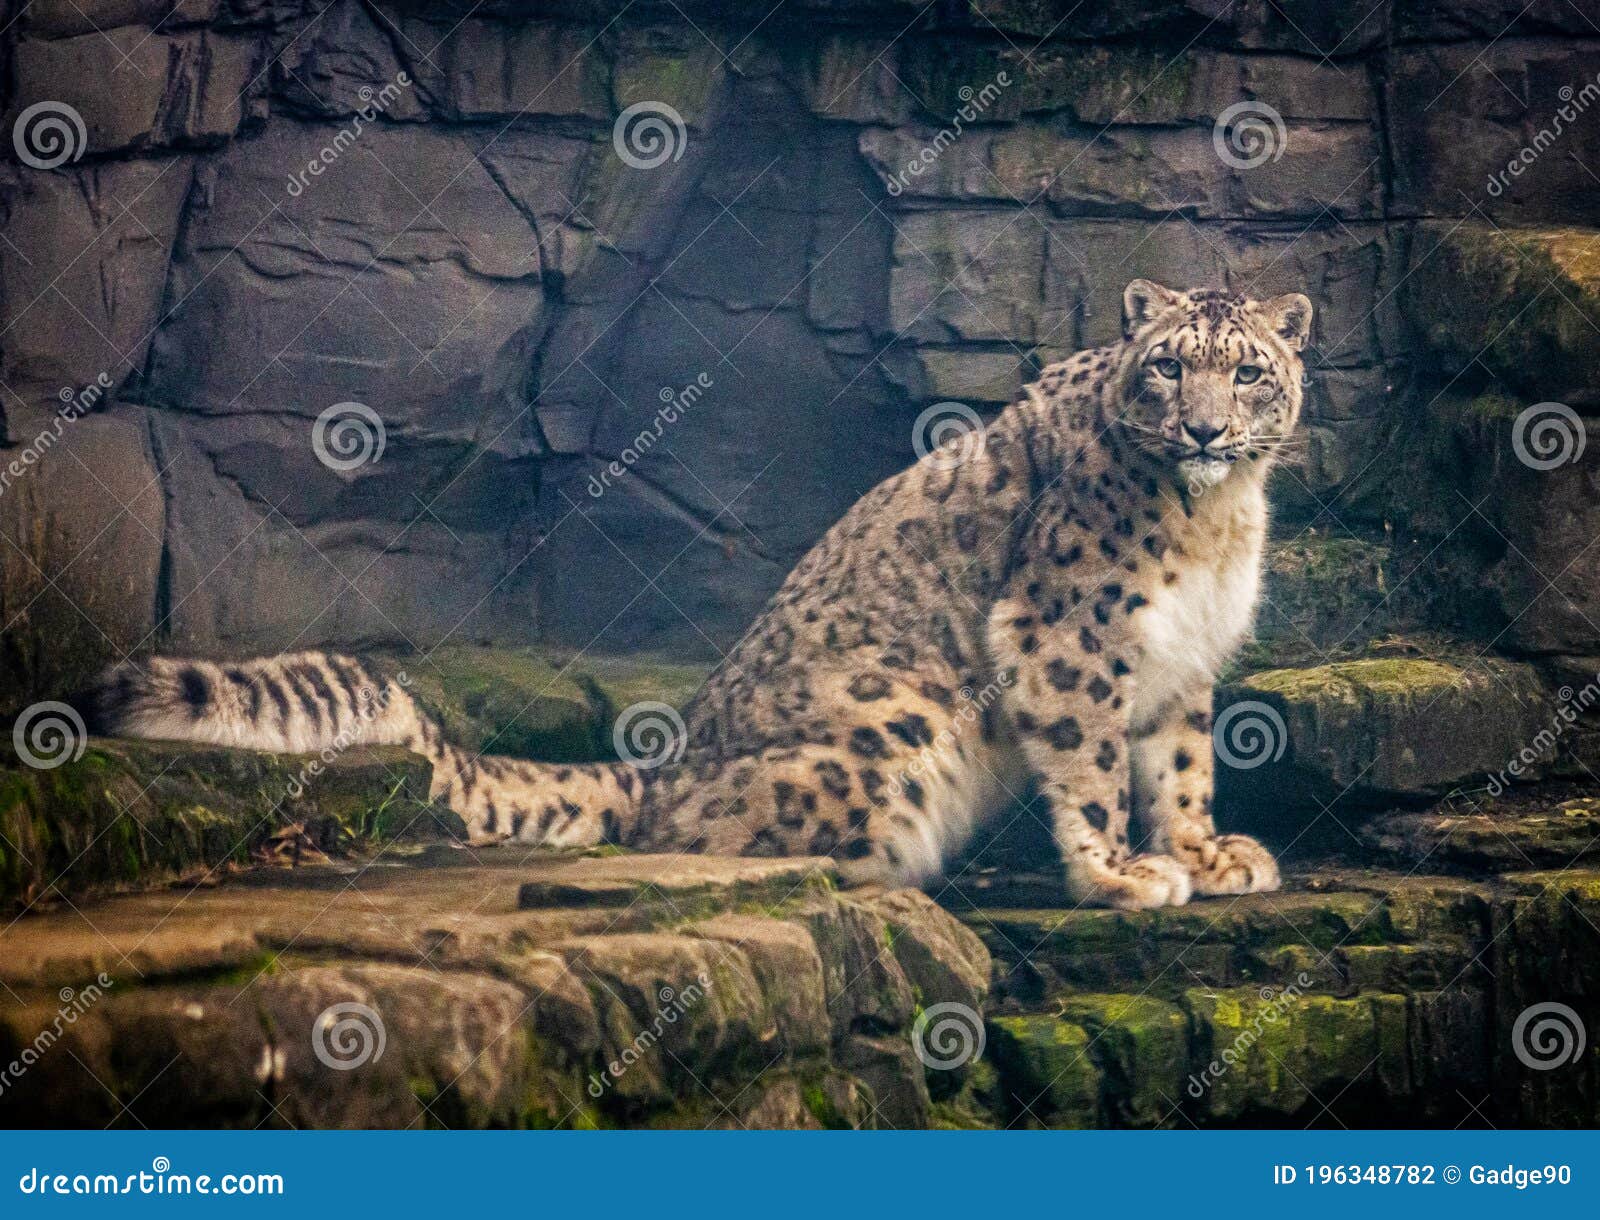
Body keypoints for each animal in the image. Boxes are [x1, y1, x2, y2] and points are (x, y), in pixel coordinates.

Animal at [81, 280, 1312, 910]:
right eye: (1168, 364)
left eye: (1249, 370)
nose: (1205, 430)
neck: (1214, 521)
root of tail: (664, 768)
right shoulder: (1069, 629)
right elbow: (1093, 763)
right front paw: (1121, 872)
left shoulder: (1183, 658)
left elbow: (1180, 763)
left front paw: (1209, 851)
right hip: (891, 721)